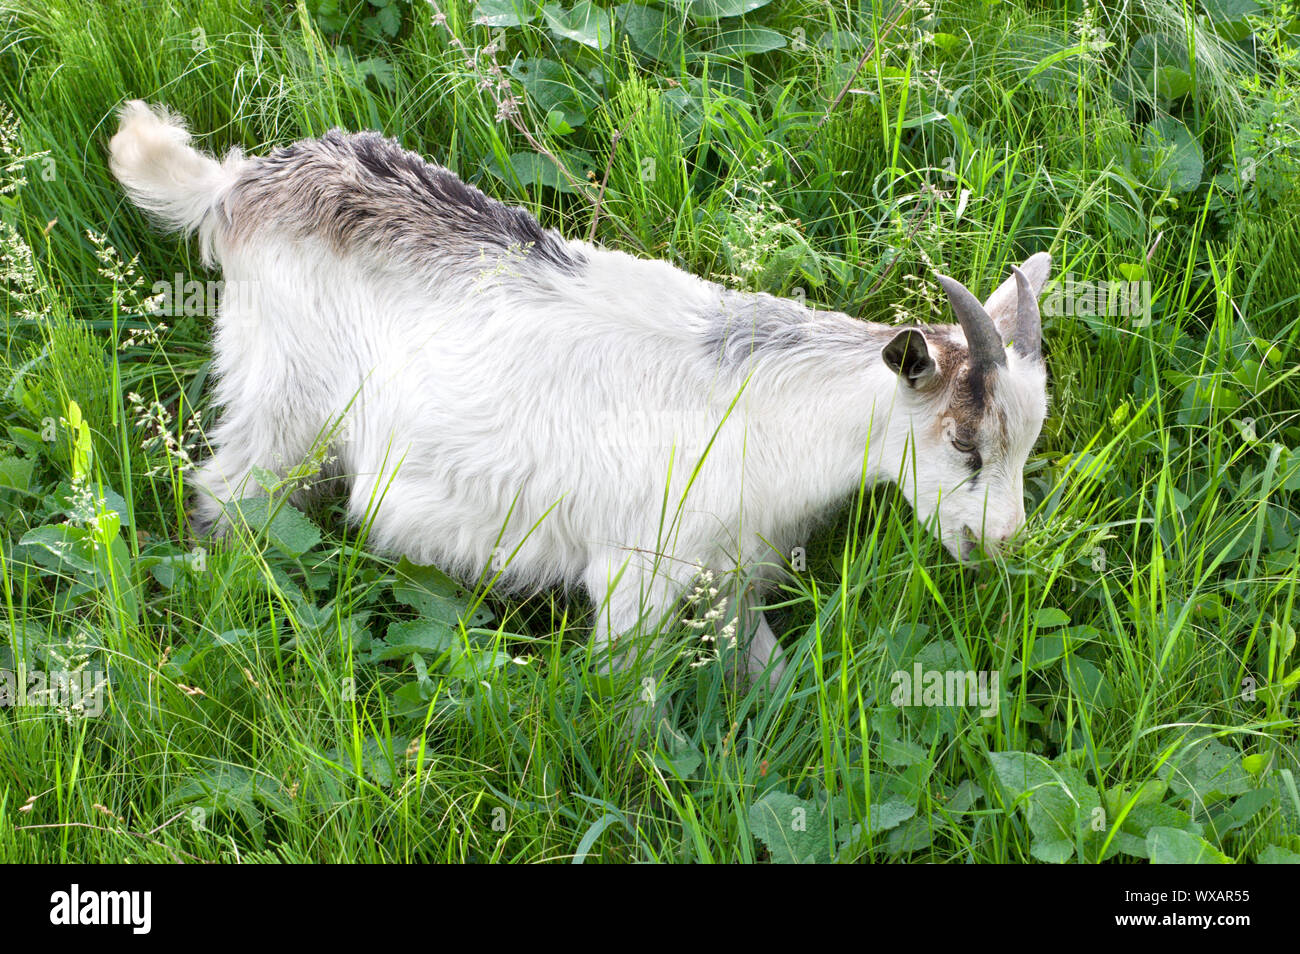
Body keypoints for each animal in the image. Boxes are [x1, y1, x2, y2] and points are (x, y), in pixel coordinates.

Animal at [109, 101, 1050, 688]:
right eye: (964, 443)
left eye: (1027, 447)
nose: (1001, 546)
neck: (766, 409)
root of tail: (238, 186)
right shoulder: (635, 577)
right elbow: (629, 708)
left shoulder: (730, 578)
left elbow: (771, 680)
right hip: (284, 408)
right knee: (226, 494)